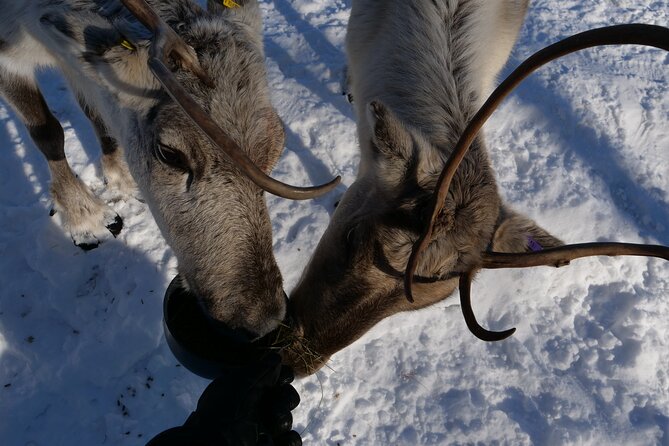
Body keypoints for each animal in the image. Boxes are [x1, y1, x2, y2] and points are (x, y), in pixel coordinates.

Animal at [0, 0, 339, 340]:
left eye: (277, 147)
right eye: (170, 154)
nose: (263, 318)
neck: (31, 22)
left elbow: (94, 109)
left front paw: (121, 178)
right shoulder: (8, 53)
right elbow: (47, 130)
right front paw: (85, 216)